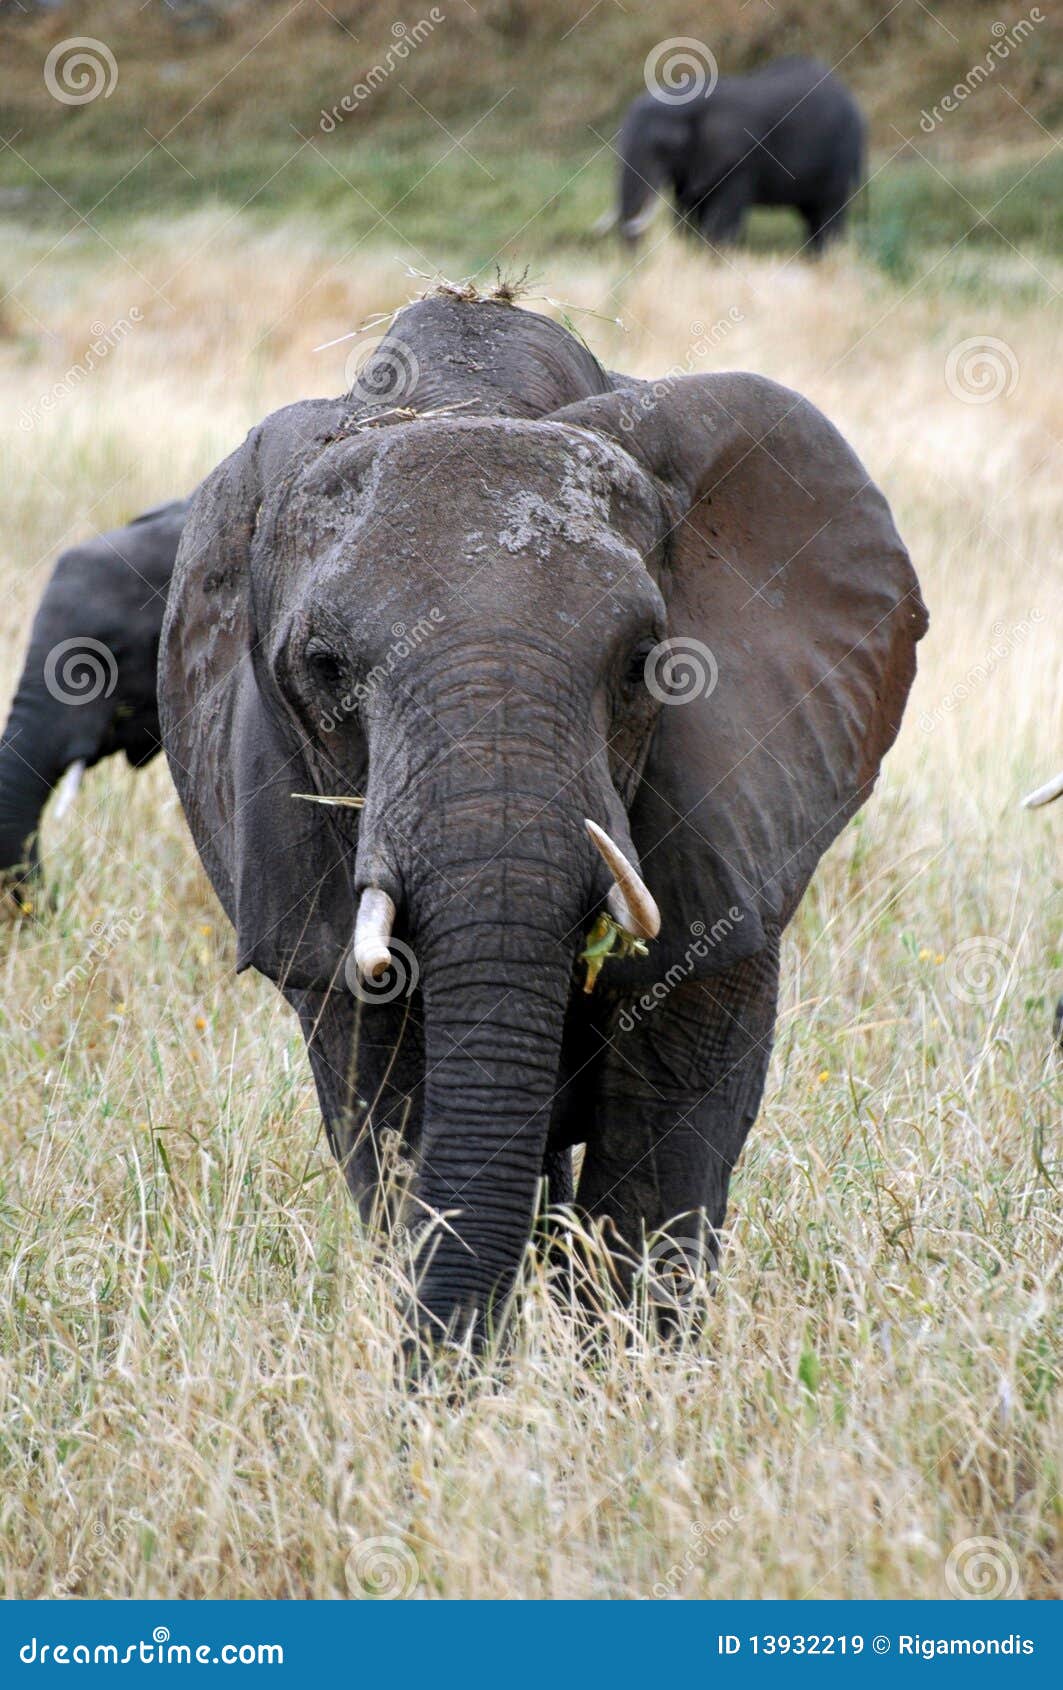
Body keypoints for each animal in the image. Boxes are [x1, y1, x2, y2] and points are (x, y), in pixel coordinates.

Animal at [612, 56, 865, 252]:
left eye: (666, 146)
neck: (692, 103)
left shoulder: (739, 159)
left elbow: (721, 219)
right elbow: (687, 210)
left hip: (841, 155)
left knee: (828, 211)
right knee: (811, 214)